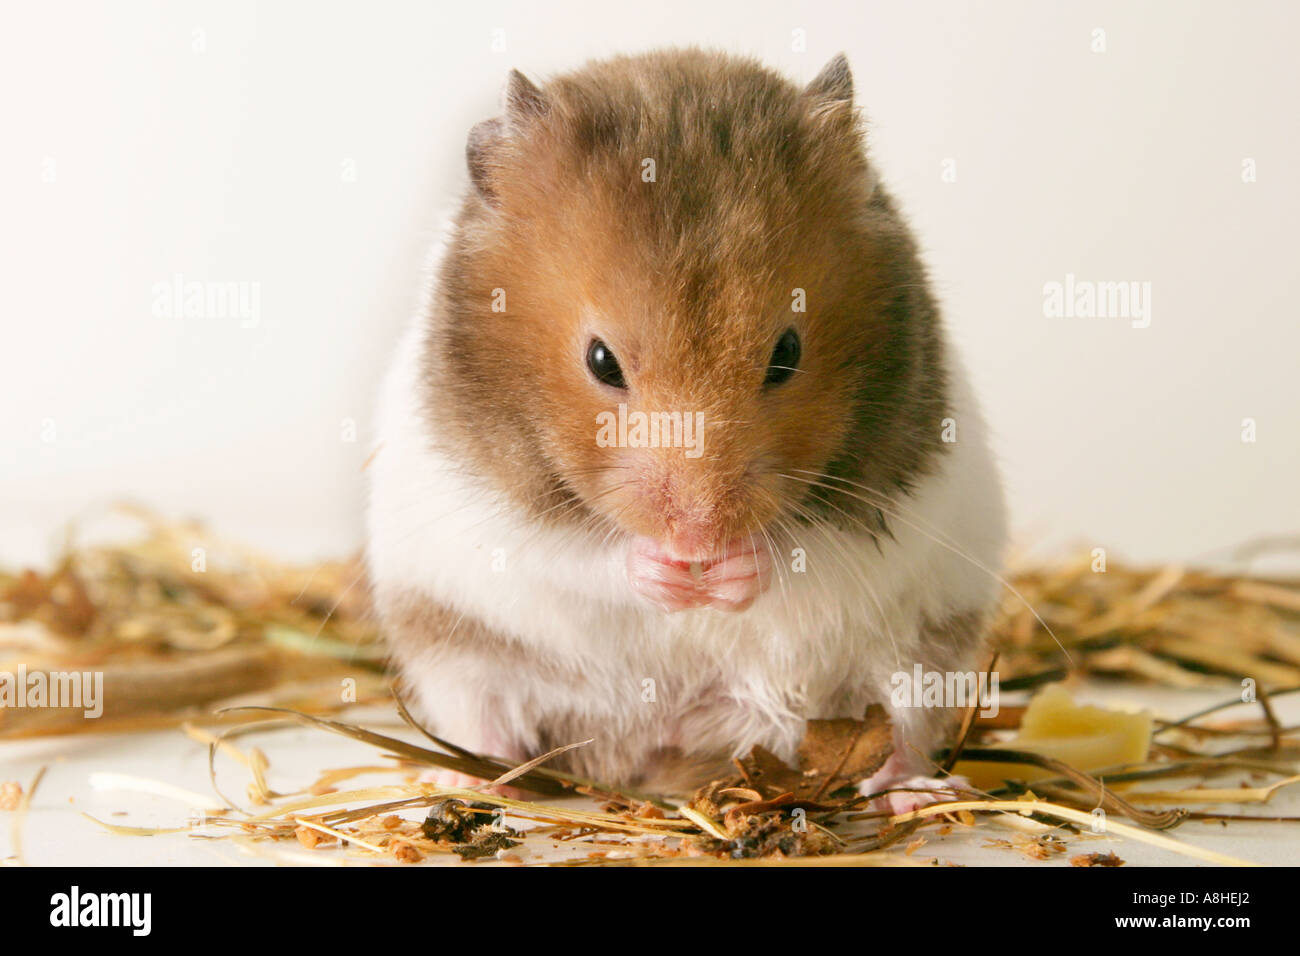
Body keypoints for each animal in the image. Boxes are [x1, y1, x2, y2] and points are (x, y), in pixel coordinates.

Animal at [366, 49, 1007, 809]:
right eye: (601, 360)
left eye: (787, 353)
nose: (697, 540)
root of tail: (666, 747)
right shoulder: (499, 512)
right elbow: (581, 556)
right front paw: (669, 574)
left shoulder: (887, 498)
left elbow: (805, 553)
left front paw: (729, 572)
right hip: (456, 654)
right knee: (487, 722)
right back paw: (463, 778)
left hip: (922, 657)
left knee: (903, 731)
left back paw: (916, 792)